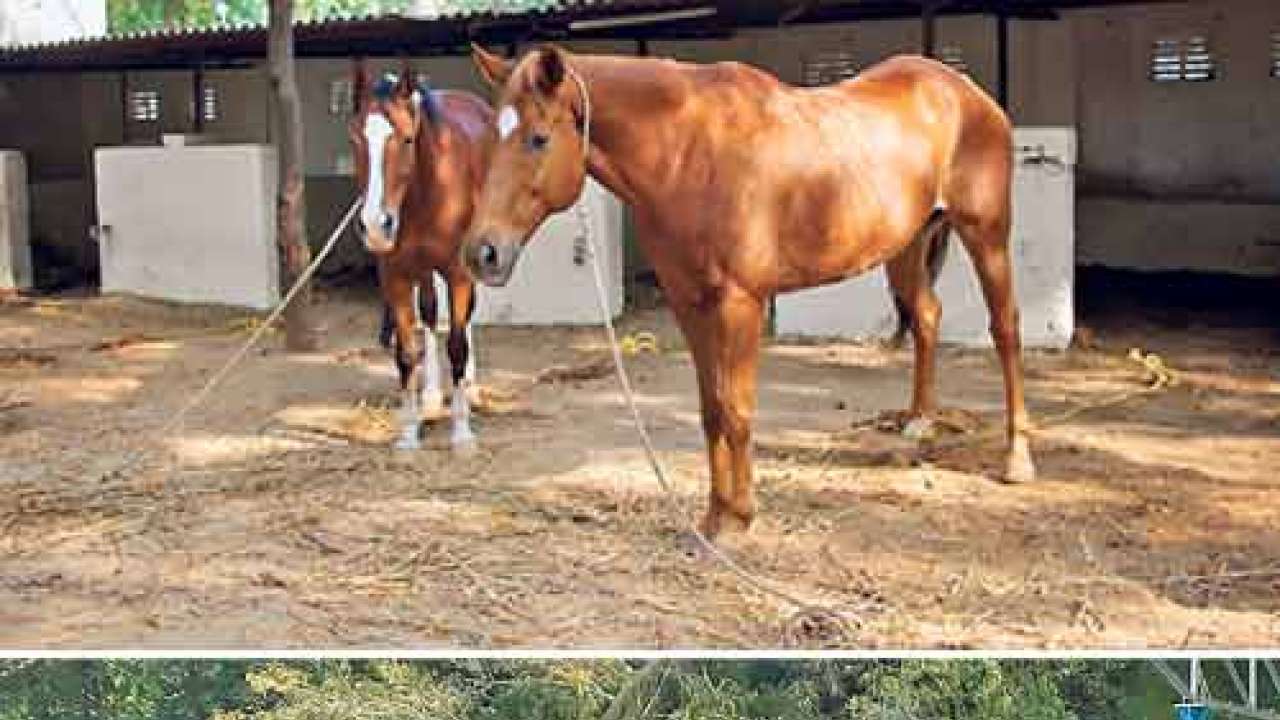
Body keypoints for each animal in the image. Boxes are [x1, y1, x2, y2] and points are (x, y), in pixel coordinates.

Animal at [349, 61, 494, 451]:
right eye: (355, 140)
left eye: (407, 139)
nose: (375, 225)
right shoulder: (396, 277)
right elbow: (405, 352)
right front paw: (409, 434)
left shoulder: (458, 272)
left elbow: (457, 345)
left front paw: (462, 433)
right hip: (424, 270)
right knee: (429, 314)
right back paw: (430, 396)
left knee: (465, 321)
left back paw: (470, 389)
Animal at [463, 44, 1037, 541]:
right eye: (492, 137)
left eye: (538, 138)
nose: (482, 253)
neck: (691, 152)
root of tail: (963, 90)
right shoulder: (689, 303)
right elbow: (711, 410)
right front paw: (714, 517)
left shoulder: (741, 303)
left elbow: (737, 410)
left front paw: (741, 517)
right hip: (905, 246)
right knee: (927, 316)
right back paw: (919, 422)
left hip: (986, 235)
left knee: (1005, 328)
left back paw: (1017, 459)